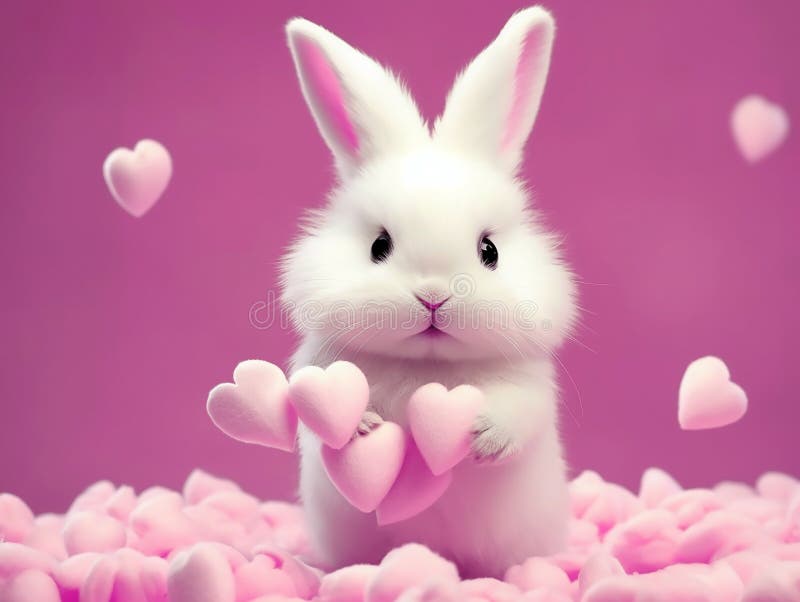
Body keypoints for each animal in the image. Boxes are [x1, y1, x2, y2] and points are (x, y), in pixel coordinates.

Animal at [280, 6, 577, 578]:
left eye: (490, 251)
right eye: (378, 246)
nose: (434, 298)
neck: (428, 368)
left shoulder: (530, 387)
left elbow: (521, 414)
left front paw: (484, 438)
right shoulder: (316, 366)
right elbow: (315, 404)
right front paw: (362, 425)